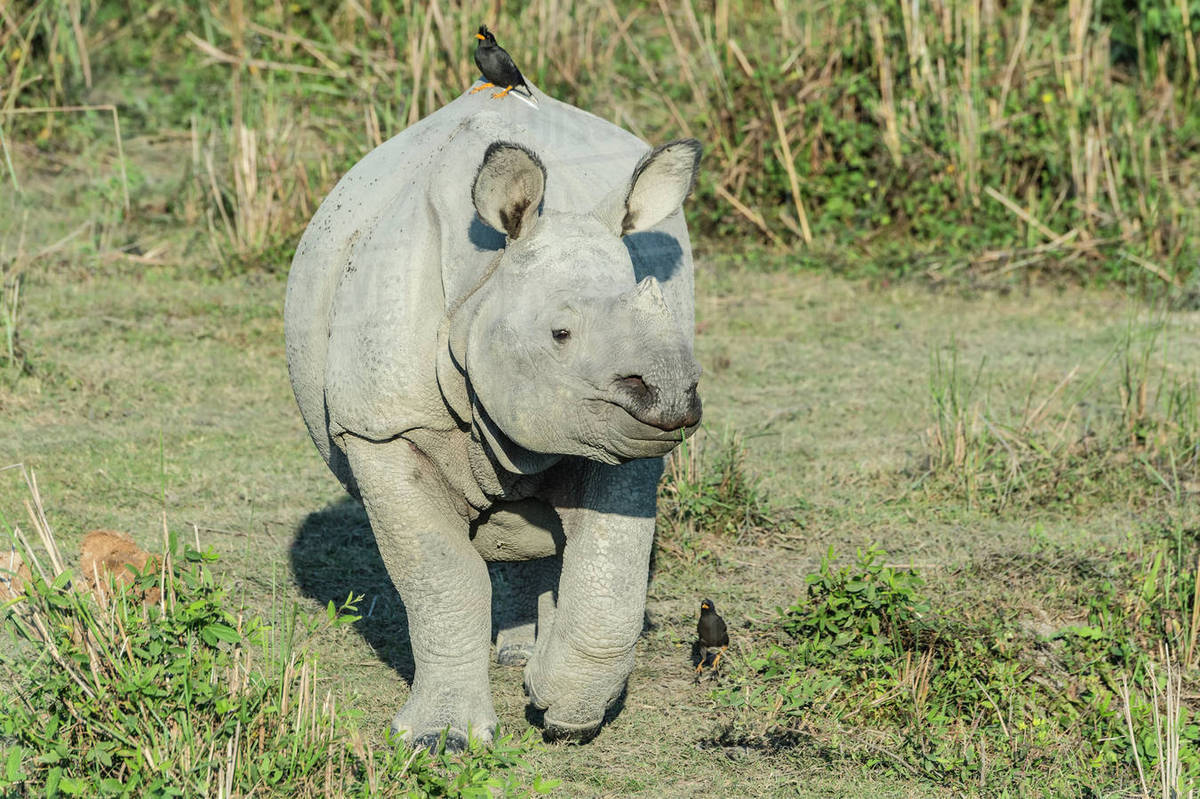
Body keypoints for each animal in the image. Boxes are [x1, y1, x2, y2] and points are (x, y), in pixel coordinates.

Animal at [284, 82, 703, 749]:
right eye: (559, 333)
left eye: (666, 316)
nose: (671, 397)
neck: (483, 286)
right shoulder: (383, 429)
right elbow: (442, 575)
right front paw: (443, 740)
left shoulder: (624, 437)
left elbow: (609, 570)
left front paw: (566, 714)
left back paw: (526, 662)